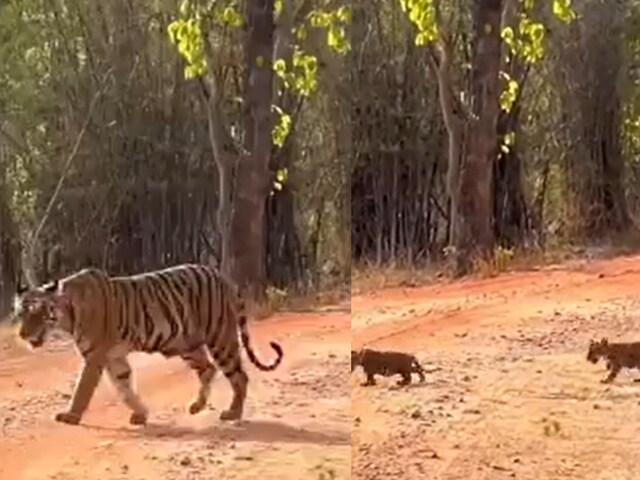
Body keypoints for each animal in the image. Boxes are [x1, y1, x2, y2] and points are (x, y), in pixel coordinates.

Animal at [12, 263, 283, 426]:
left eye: (38, 313)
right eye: (21, 313)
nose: (23, 335)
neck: (68, 313)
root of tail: (223, 276)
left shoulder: (95, 356)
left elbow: (83, 389)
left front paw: (70, 416)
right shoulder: (113, 357)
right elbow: (124, 387)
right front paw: (140, 414)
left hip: (220, 338)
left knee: (238, 376)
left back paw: (232, 413)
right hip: (187, 344)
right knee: (208, 369)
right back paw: (197, 406)